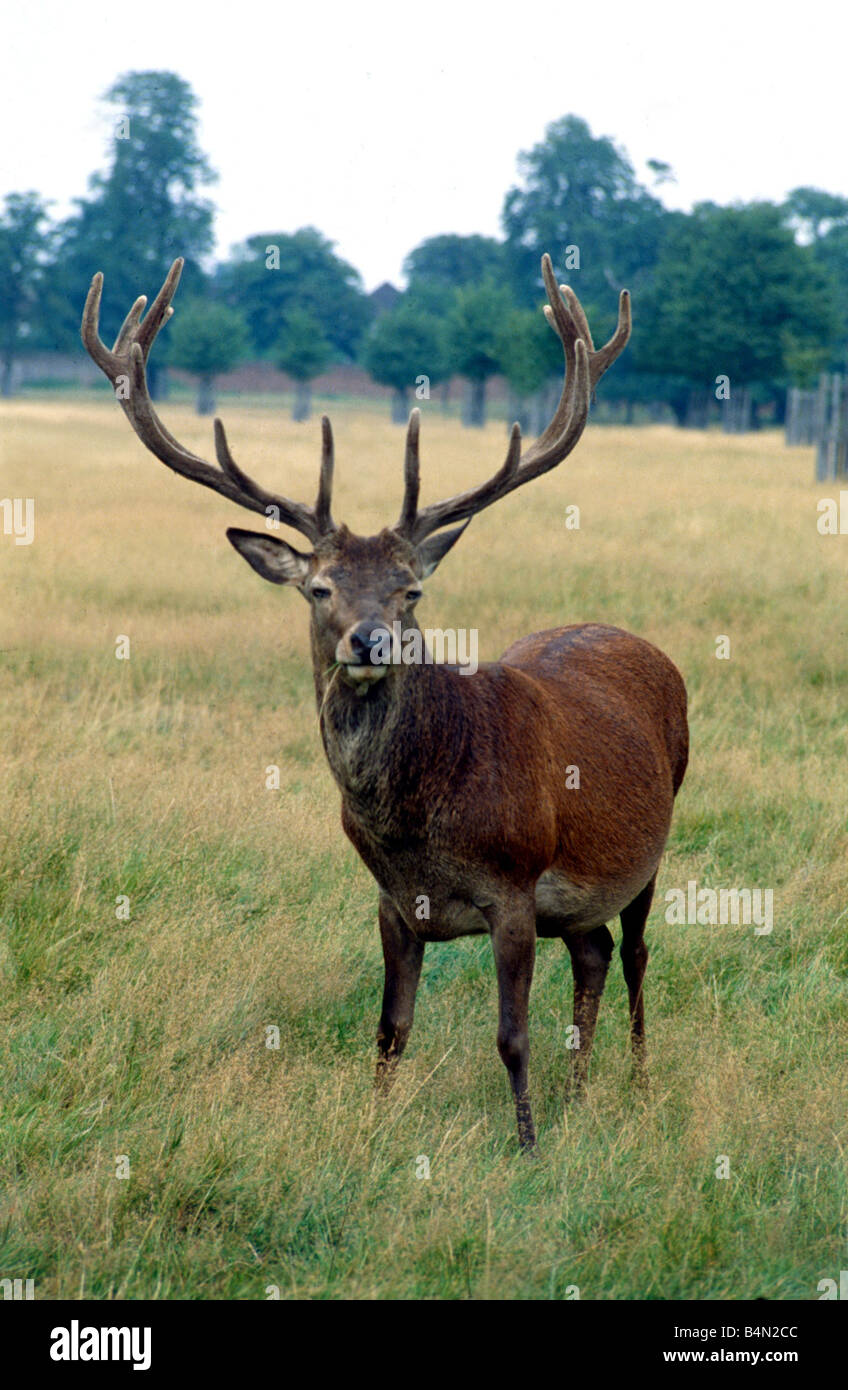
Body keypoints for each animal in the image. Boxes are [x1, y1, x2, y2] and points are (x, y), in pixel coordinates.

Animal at [82, 253, 688, 1152]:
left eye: (410, 590)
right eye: (320, 588)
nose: (369, 640)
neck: (415, 825)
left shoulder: (515, 887)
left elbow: (511, 1034)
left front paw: (527, 1144)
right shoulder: (390, 902)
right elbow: (389, 1030)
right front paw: (371, 1131)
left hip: (651, 845)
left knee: (640, 954)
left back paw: (638, 1086)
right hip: (581, 900)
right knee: (596, 953)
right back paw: (580, 1095)